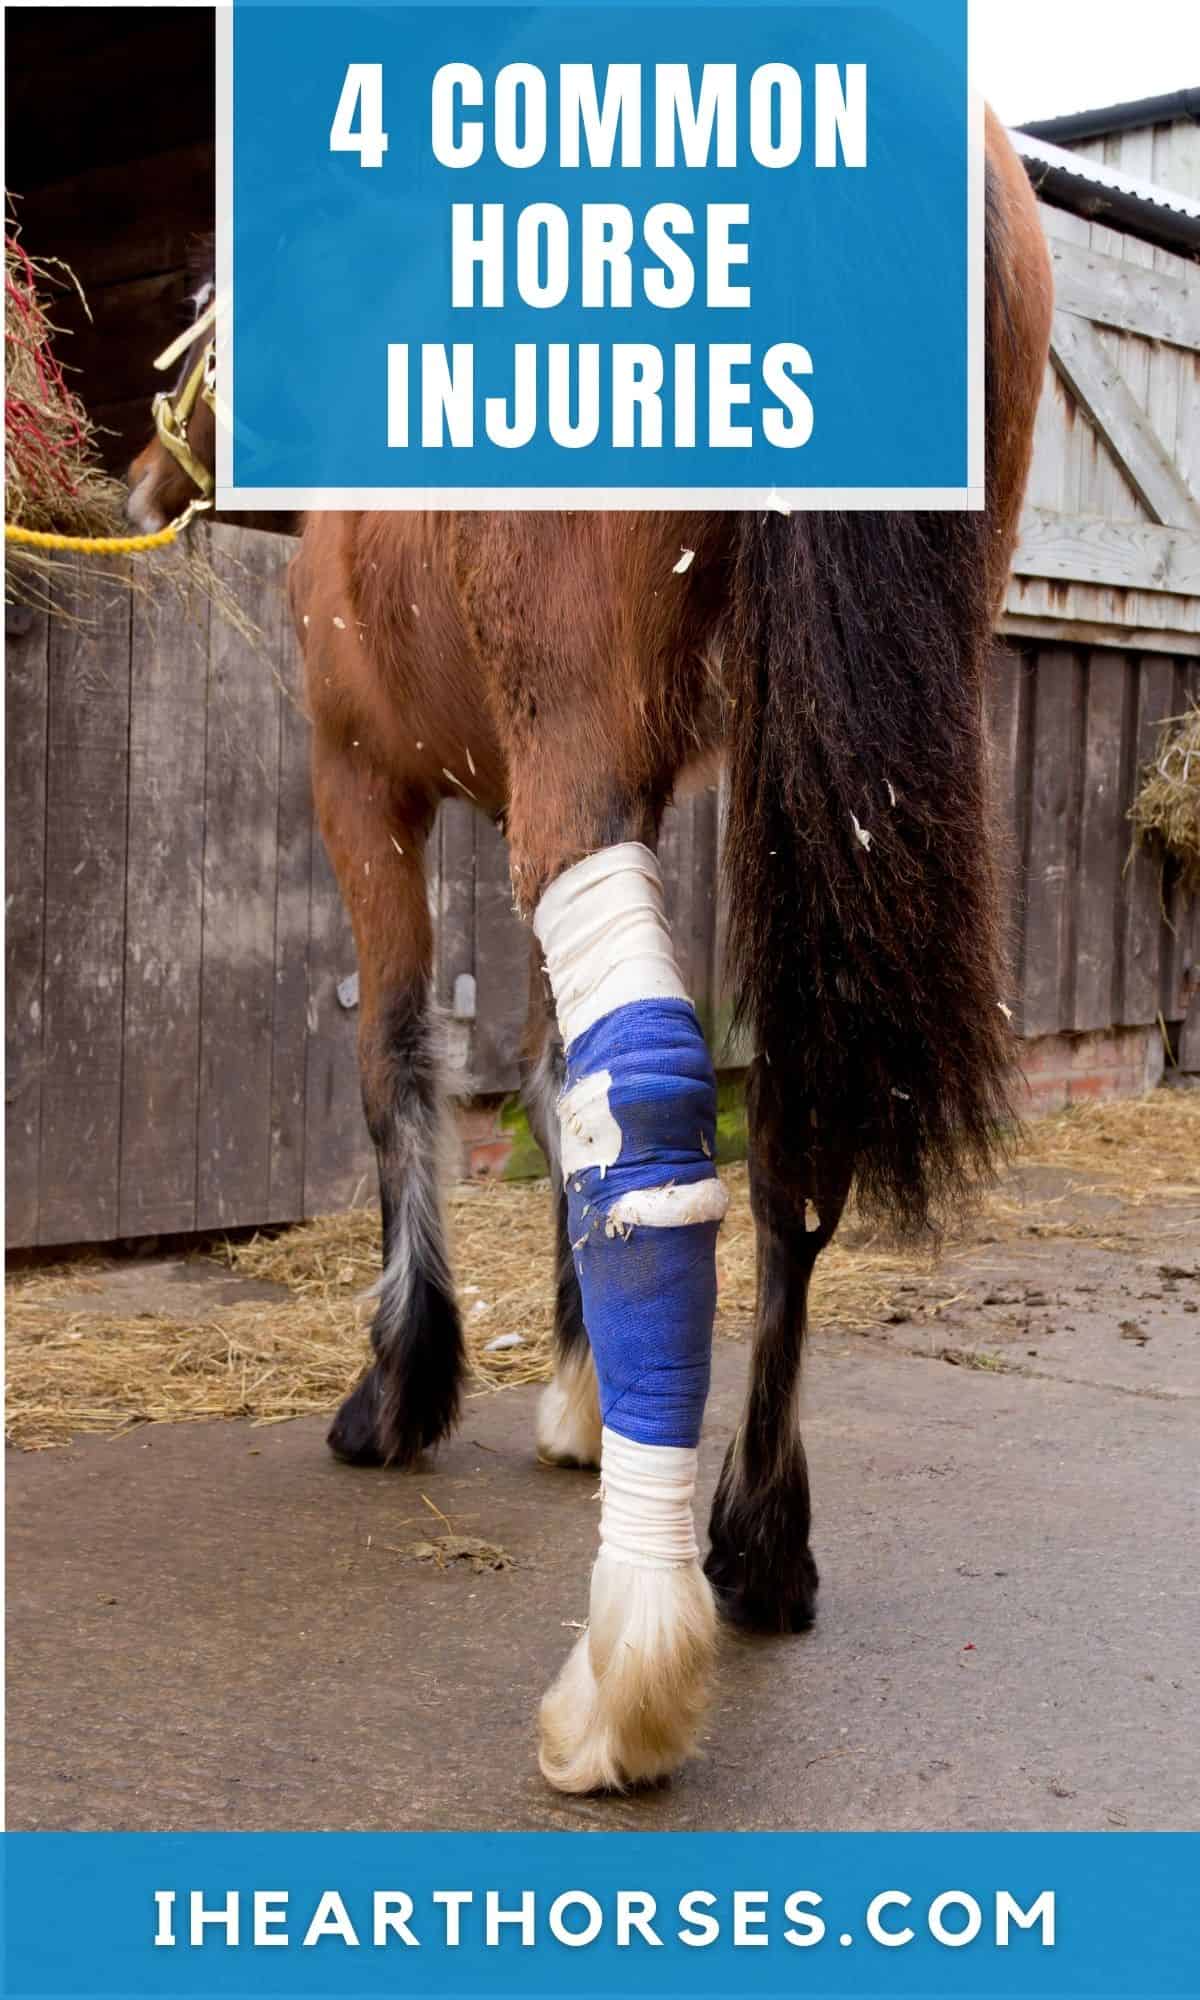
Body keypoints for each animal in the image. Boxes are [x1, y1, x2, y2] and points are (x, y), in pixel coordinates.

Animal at [128, 113, 1053, 1796]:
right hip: (804, 766)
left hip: (569, 762)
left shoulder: (370, 786)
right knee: (782, 1118)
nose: (141, 465)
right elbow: (557, 1080)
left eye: (206, 286)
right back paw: (754, 1540)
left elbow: (401, 1058)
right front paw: (576, 1390)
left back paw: (633, 1656)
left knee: (668, 1082)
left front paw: (406, 1379)